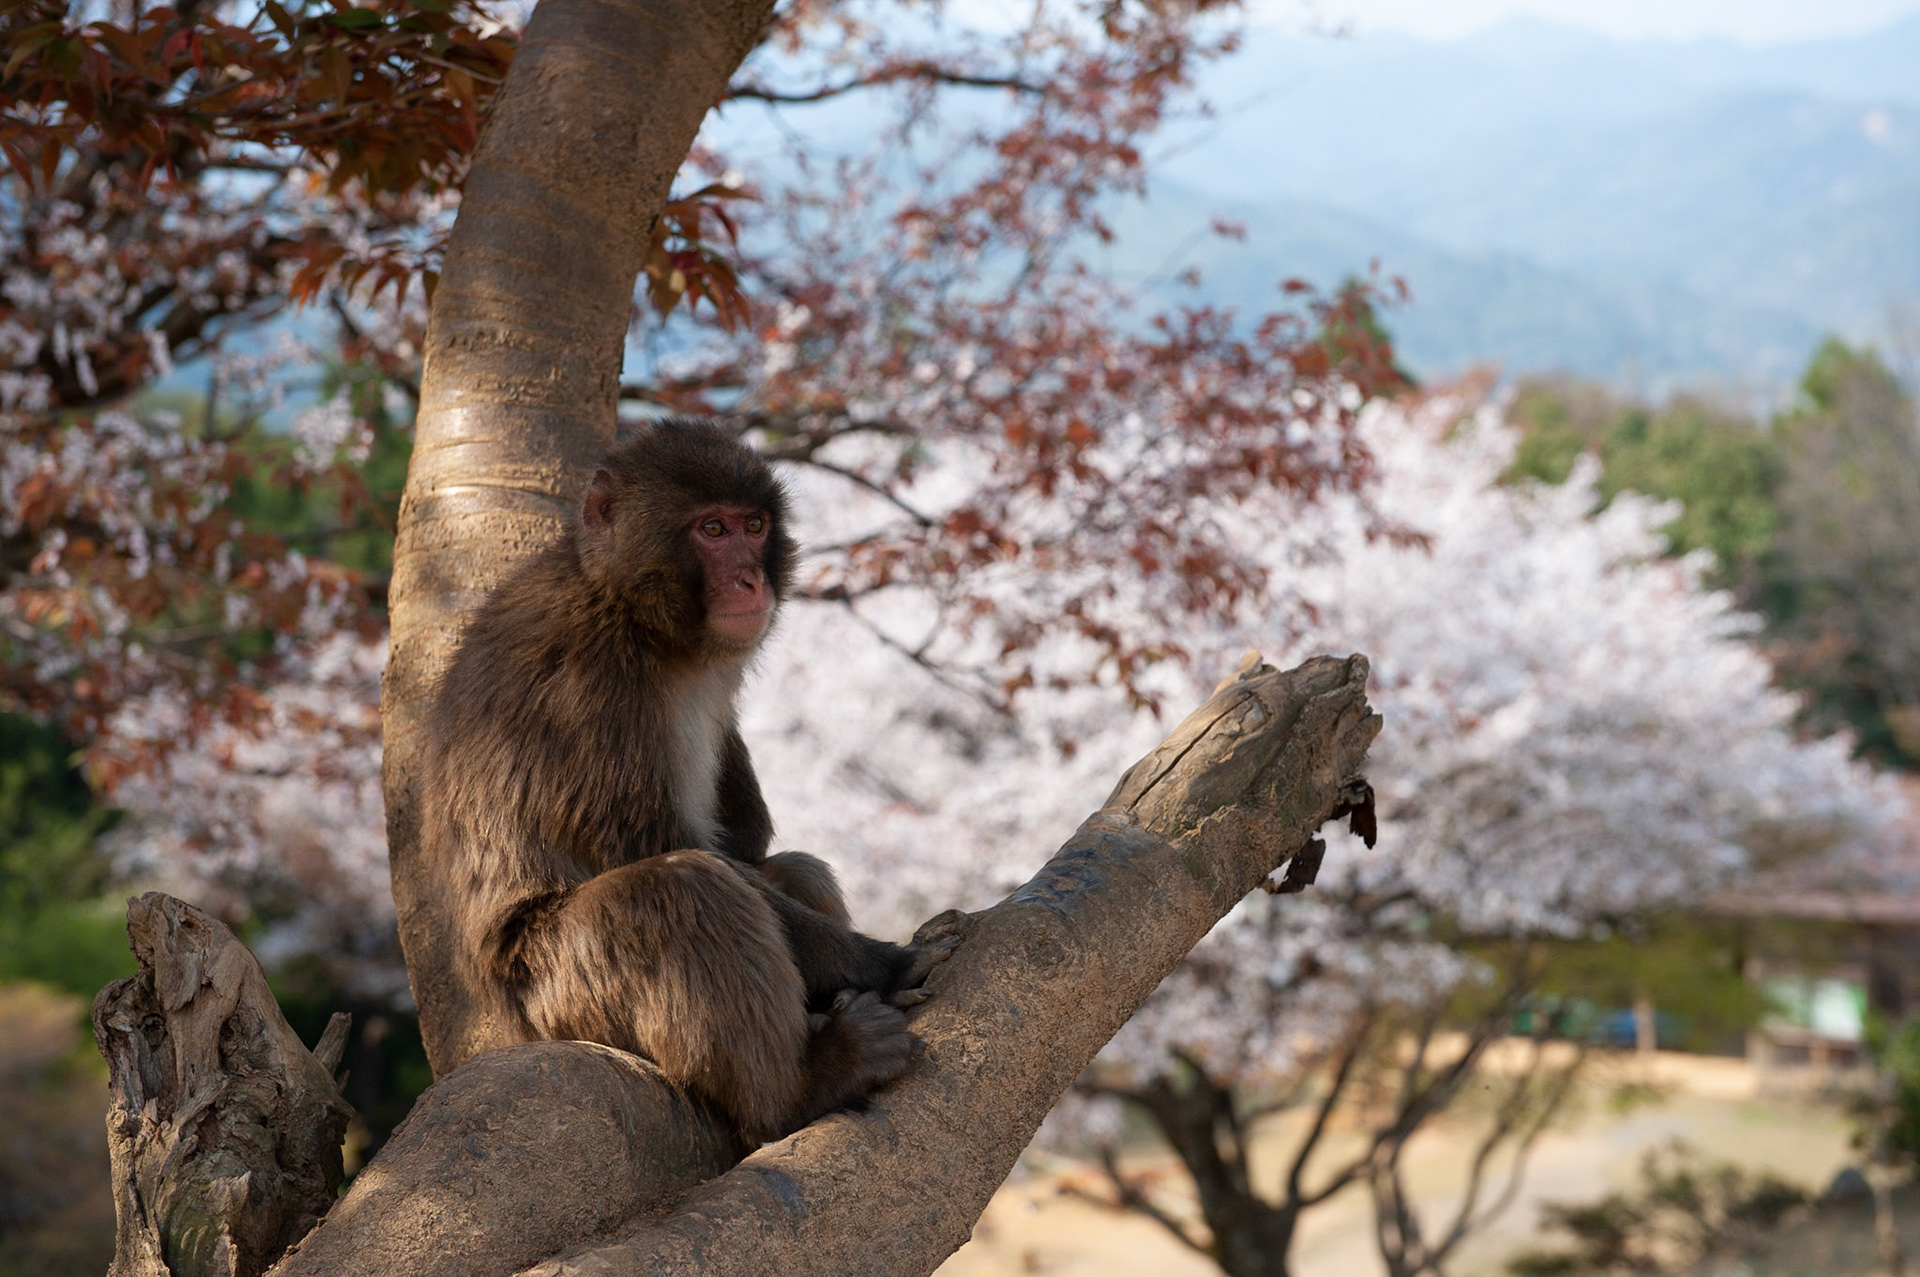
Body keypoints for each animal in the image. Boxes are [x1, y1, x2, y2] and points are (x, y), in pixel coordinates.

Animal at [420, 418, 956, 1143]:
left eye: (754, 525)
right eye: (712, 530)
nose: (750, 579)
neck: (630, 609)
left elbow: (749, 841)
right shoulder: (592, 688)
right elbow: (664, 845)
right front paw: (885, 962)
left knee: (788, 869)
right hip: (560, 997)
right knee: (676, 887)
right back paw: (798, 1091)